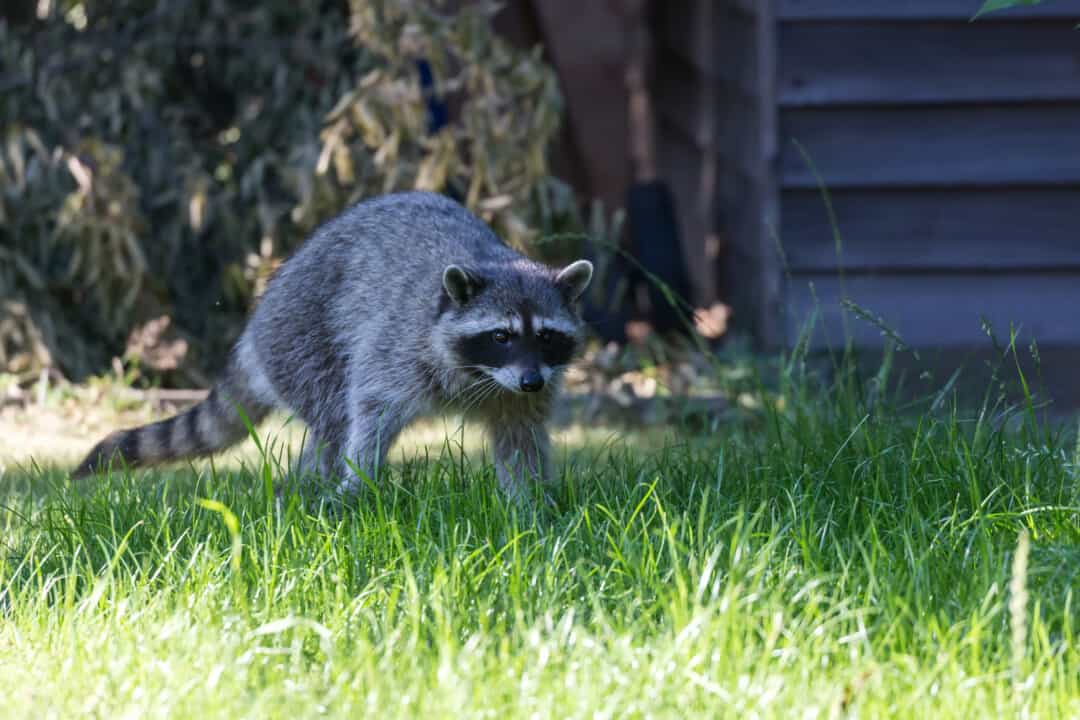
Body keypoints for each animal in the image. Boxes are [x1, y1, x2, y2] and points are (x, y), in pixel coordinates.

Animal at [73, 191, 593, 502]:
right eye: (501, 336)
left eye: (546, 336)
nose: (530, 380)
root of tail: (255, 327)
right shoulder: (398, 345)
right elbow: (371, 411)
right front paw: (358, 480)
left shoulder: (522, 390)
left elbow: (519, 437)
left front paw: (530, 503)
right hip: (301, 335)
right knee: (332, 415)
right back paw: (315, 485)